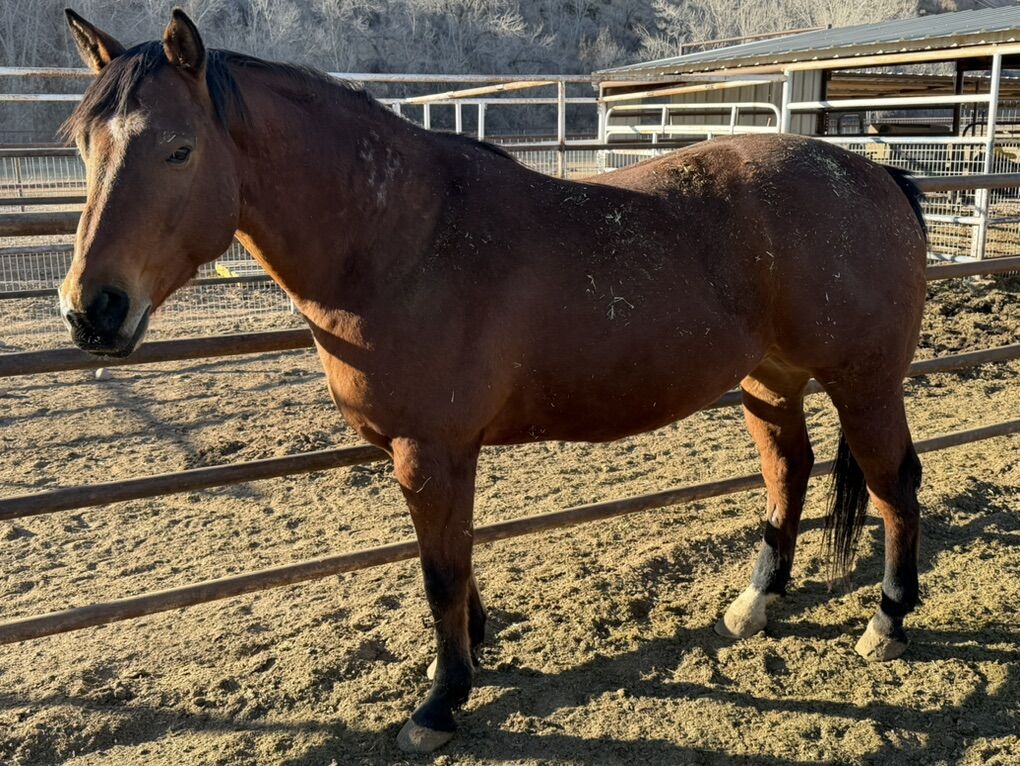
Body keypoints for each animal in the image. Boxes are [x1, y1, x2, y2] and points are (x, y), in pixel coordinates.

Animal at [58, 9, 928, 753]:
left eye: (179, 149)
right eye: (84, 150)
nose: (91, 310)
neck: (402, 243)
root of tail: (876, 177)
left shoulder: (431, 450)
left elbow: (440, 574)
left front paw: (441, 703)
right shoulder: (437, 455)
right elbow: (458, 560)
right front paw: (469, 656)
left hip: (865, 383)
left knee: (894, 485)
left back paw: (888, 621)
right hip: (770, 381)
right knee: (789, 471)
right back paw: (757, 602)